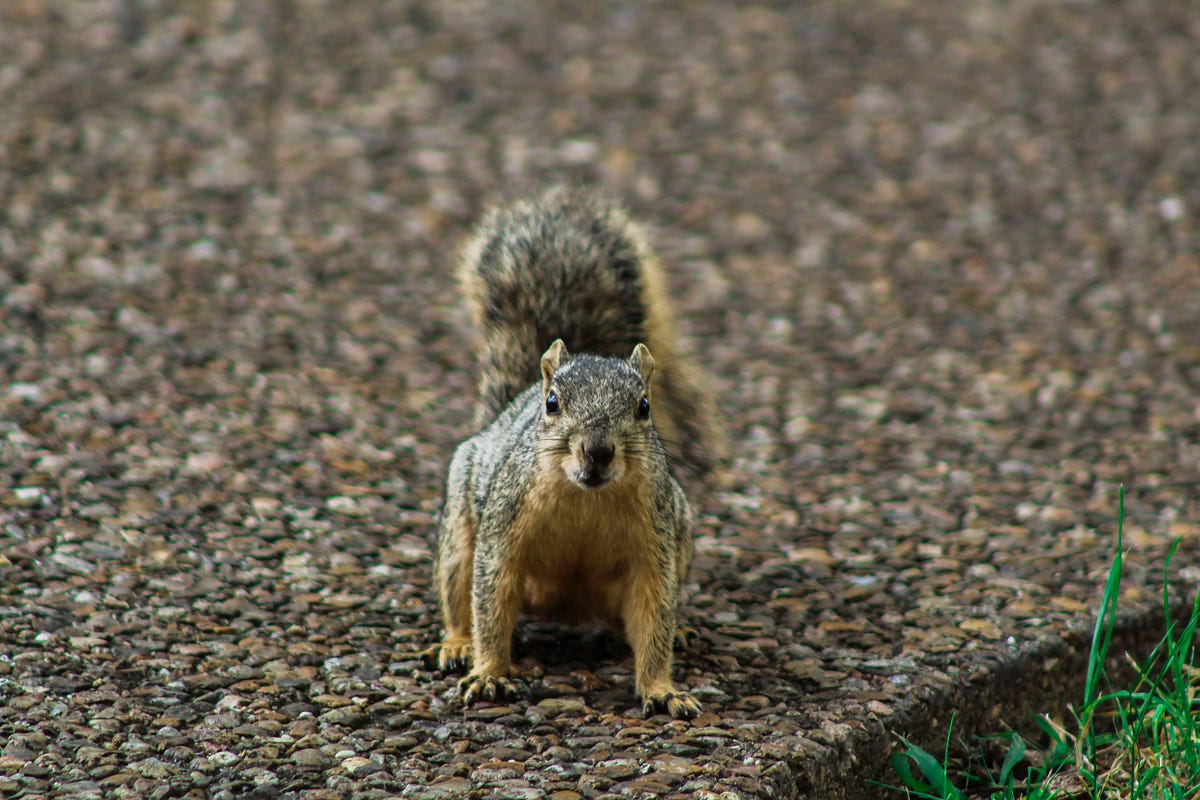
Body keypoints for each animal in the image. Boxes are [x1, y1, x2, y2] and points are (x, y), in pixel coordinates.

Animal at [424, 187, 722, 719]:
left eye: (644, 406)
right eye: (552, 403)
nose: (597, 452)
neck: (587, 499)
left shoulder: (655, 545)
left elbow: (655, 615)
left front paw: (662, 688)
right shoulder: (502, 534)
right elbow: (490, 604)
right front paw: (489, 674)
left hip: (680, 535)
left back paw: (683, 631)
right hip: (459, 534)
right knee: (460, 595)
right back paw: (457, 644)